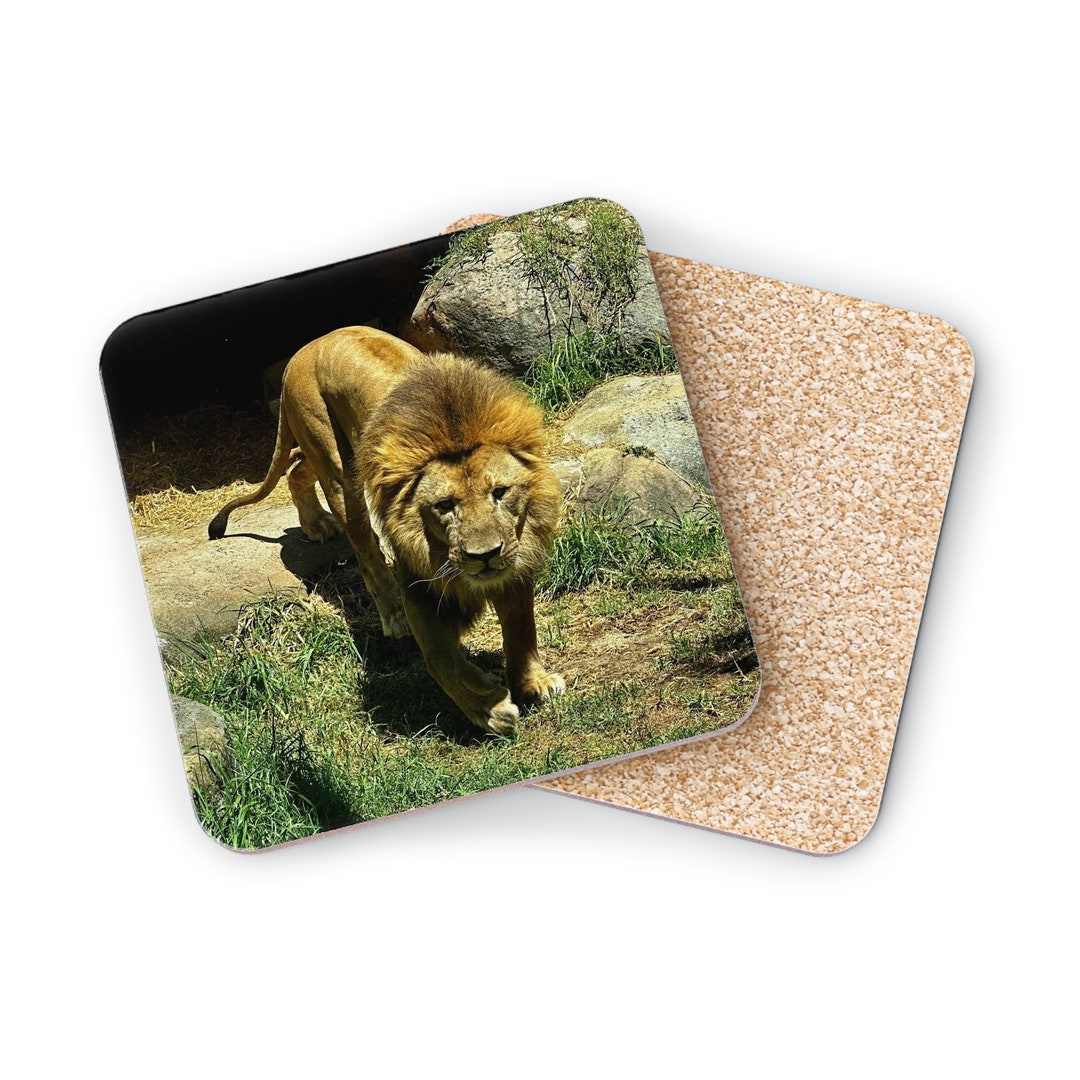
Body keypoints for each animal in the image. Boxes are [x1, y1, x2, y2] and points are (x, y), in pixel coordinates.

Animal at [208, 326, 565, 736]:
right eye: (445, 505)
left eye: (500, 493)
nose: (484, 556)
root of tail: (303, 351)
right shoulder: (419, 581)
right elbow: (440, 657)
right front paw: (488, 708)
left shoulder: (516, 560)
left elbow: (522, 627)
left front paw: (535, 683)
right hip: (338, 465)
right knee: (365, 549)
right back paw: (392, 614)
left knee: (296, 466)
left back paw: (316, 524)